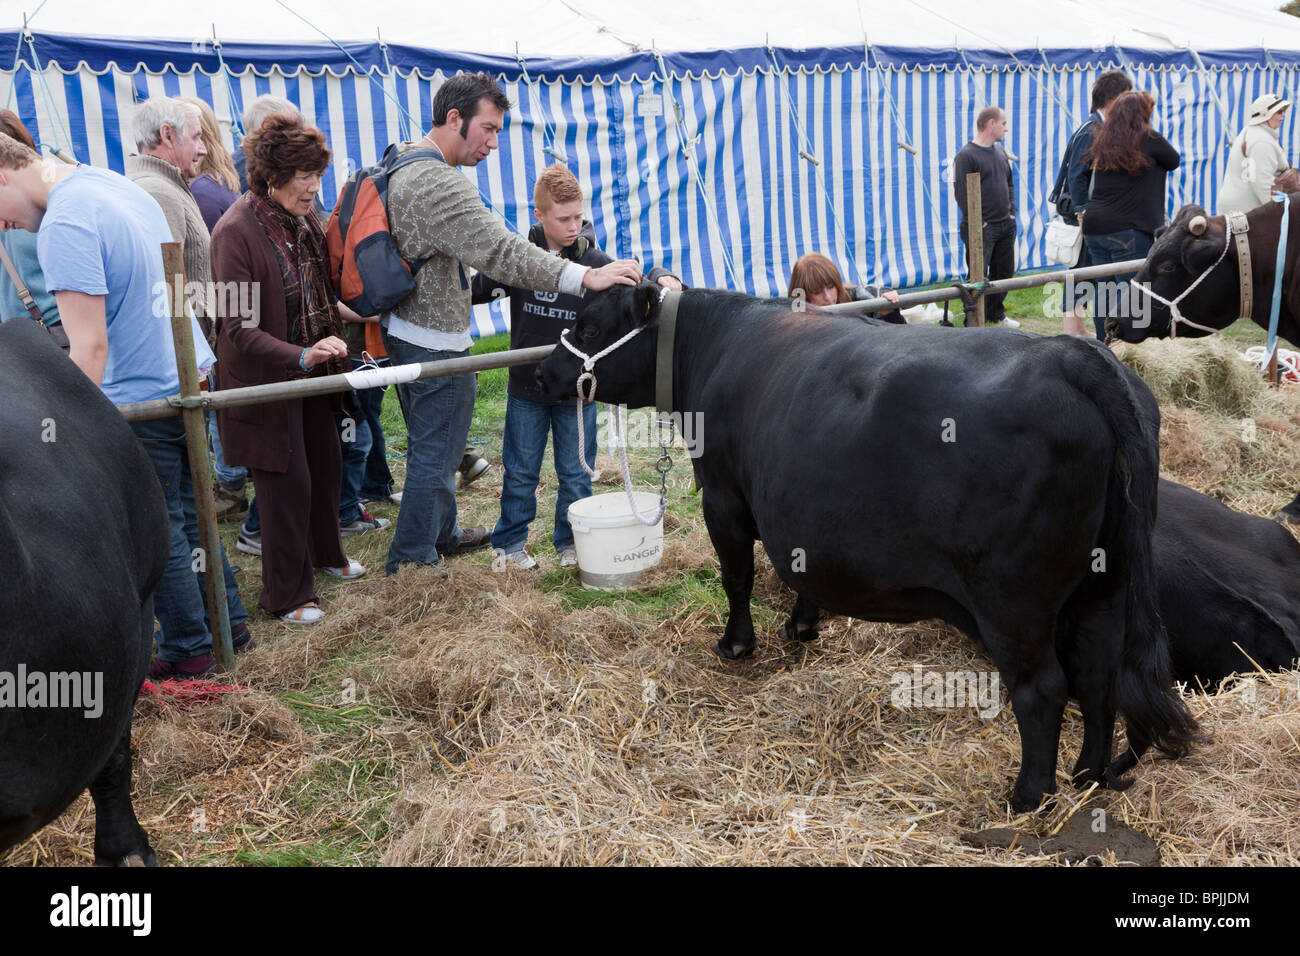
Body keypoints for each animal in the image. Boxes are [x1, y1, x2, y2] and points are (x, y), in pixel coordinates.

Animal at [536, 284, 1199, 812]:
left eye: (588, 327)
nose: (539, 375)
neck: (717, 344)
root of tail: (1074, 356)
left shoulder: (723, 494)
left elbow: (738, 575)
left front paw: (736, 645)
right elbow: (798, 565)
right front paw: (802, 625)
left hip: (1014, 598)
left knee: (1043, 689)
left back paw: (1027, 798)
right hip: (1105, 582)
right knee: (1098, 671)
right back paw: (1089, 776)